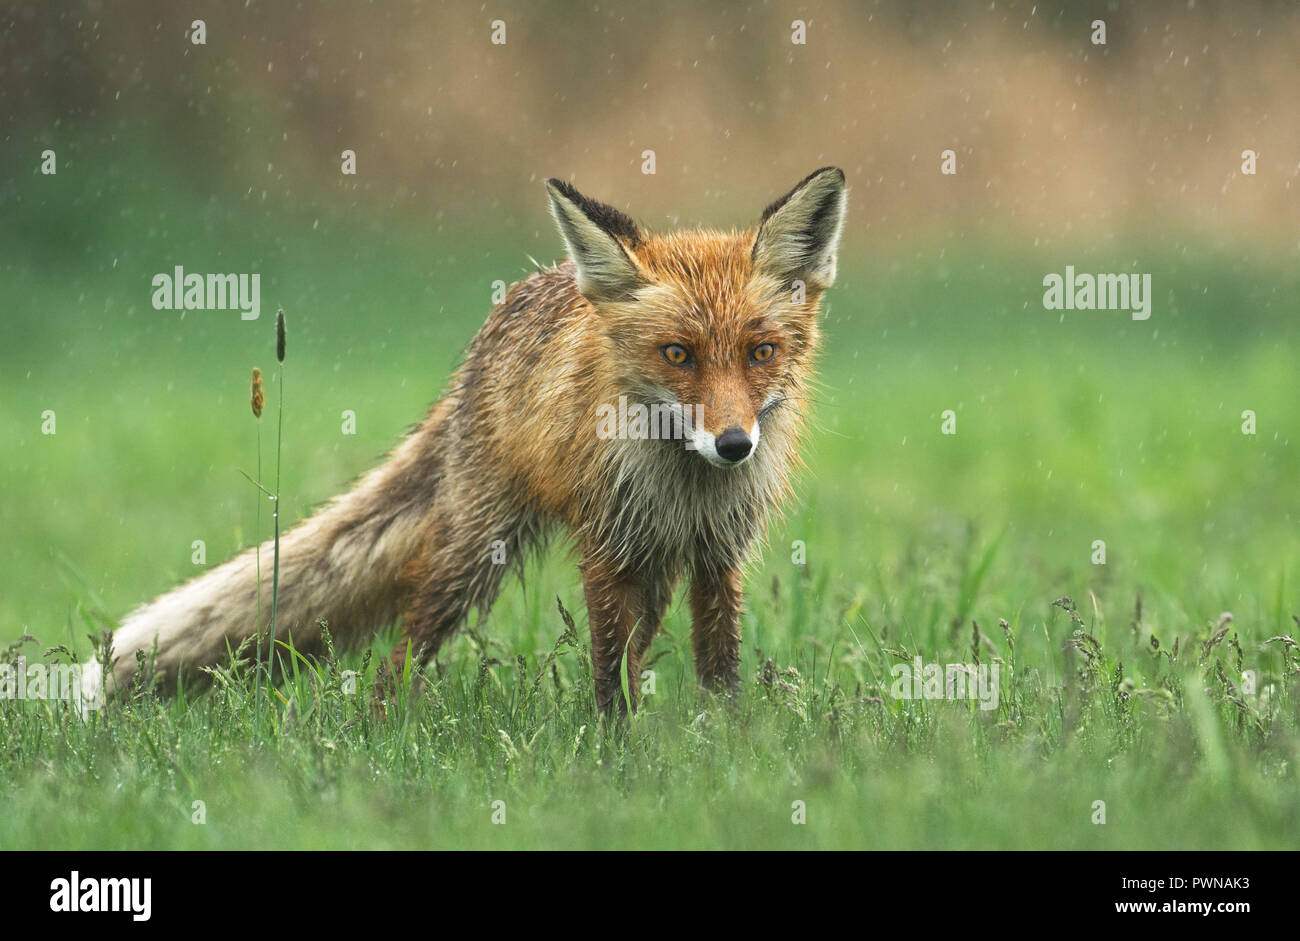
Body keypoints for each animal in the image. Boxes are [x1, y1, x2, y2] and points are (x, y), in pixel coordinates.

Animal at [79, 166, 847, 714]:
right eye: (678, 354)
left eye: (762, 352)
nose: (734, 444)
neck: (687, 484)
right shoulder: (604, 546)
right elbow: (608, 673)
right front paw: (615, 756)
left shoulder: (719, 552)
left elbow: (718, 668)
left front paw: (721, 746)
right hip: (476, 552)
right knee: (404, 651)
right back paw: (383, 730)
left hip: (650, 565)